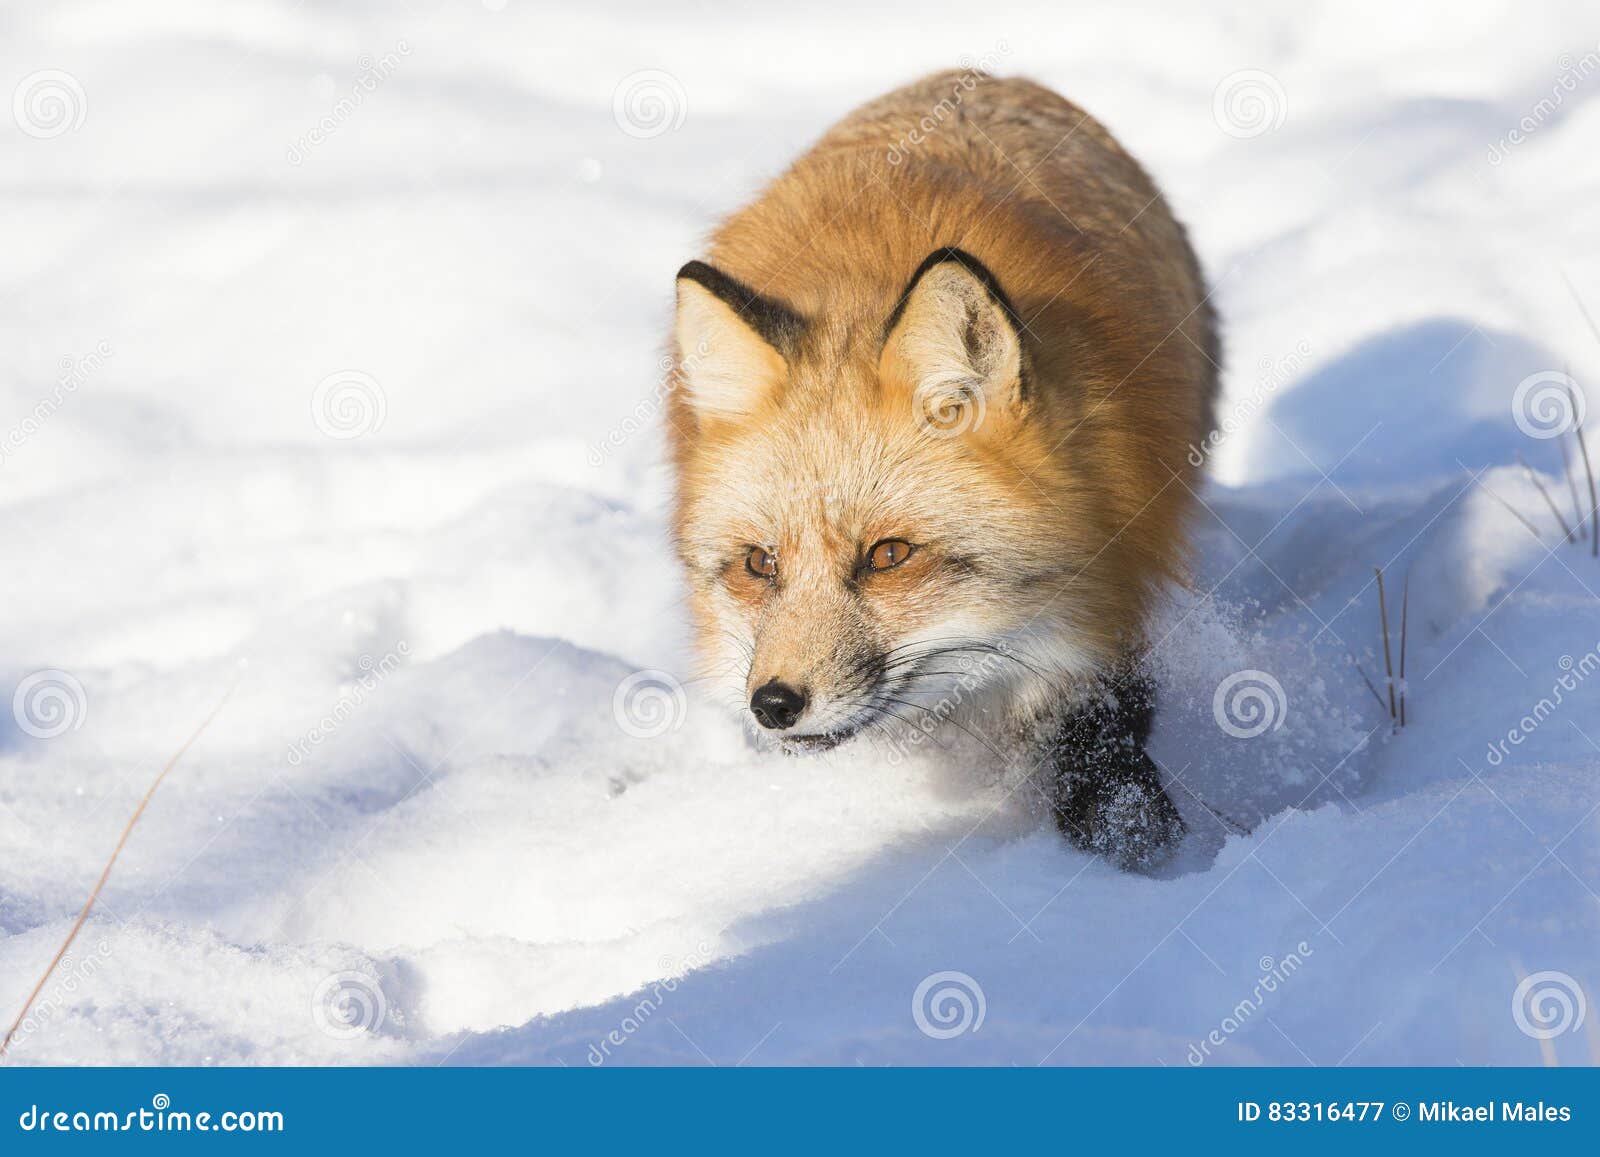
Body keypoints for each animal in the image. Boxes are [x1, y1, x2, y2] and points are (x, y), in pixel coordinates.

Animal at [664, 71, 1219, 870]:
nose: (774, 704)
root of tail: (985, 76)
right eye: (759, 564)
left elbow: (1100, 739)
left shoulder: (1113, 591)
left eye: (889, 555)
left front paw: (1132, 843)